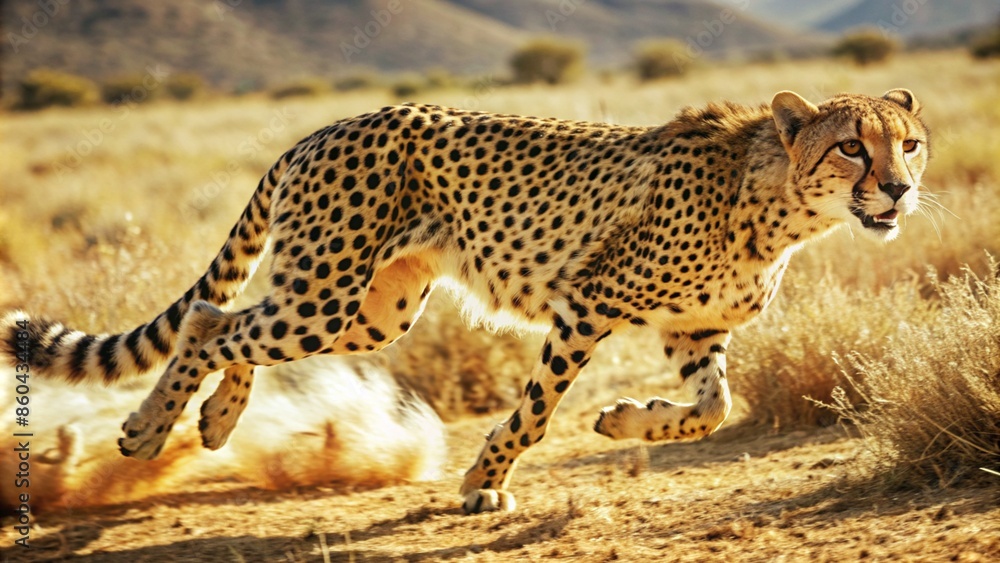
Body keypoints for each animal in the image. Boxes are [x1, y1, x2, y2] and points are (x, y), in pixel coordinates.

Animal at [1, 88, 929, 514]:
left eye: (910, 143)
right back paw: (148, 427)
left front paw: (624, 419)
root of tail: (320, 128)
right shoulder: (588, 302)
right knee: (210, 318)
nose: (900, 188)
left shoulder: (692, 329)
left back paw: (216, 419)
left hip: (368, 307)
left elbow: (713, 406)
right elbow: (537, 409)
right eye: (852, 147)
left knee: (231, 323)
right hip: (329, 289)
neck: (778, 204)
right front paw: (484, 480)